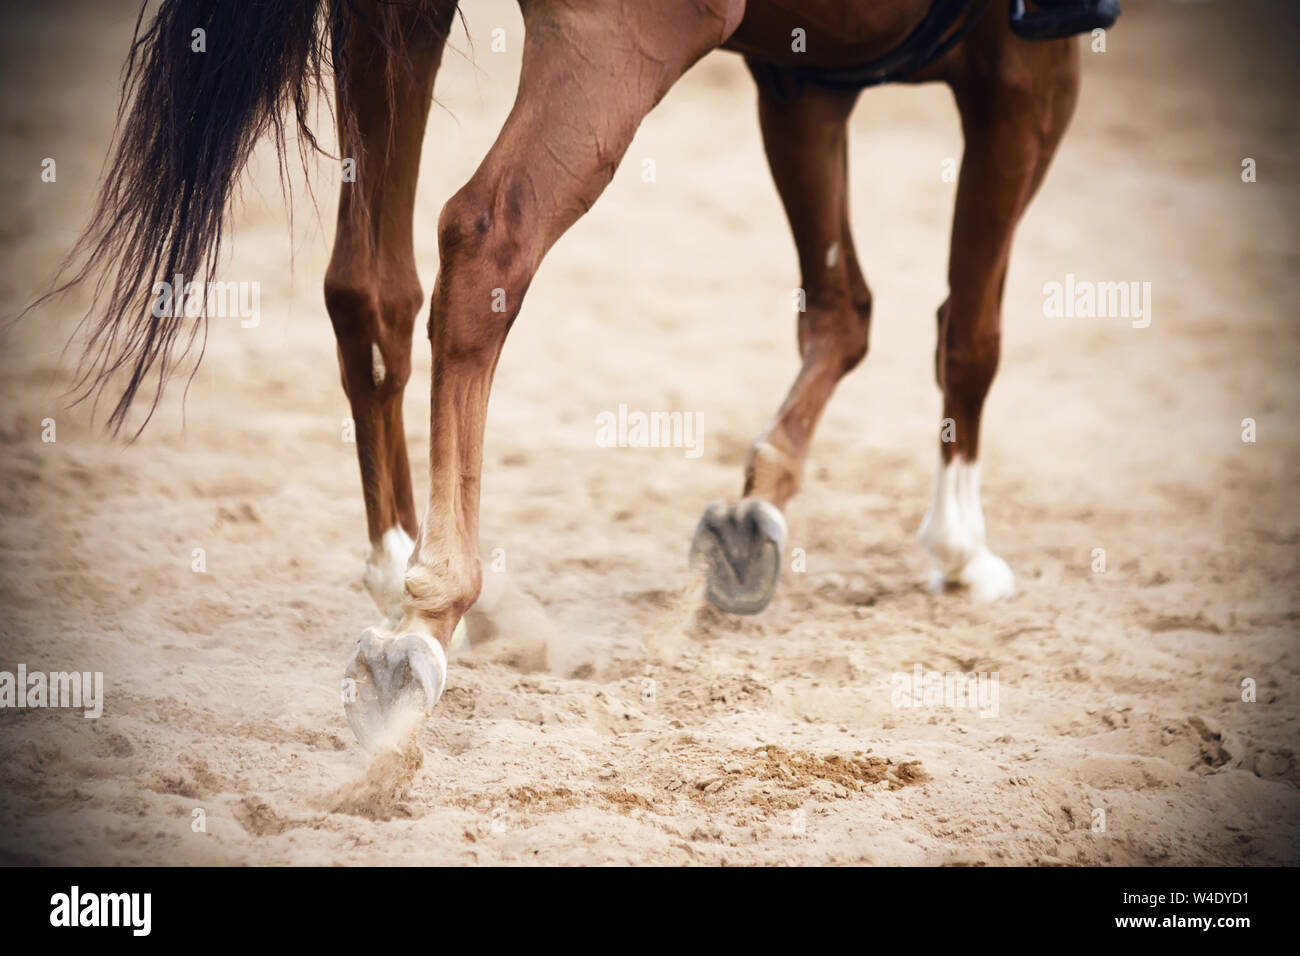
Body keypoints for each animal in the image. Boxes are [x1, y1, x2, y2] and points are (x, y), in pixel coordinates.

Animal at [46, 0, 1119, 748]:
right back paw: (428, 618)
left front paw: (754, 509)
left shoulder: (804, 79)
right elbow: (969, 331)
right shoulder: (1029, 74)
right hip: (614, 44)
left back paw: (401, 575)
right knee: (485, 248)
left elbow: (841, 309)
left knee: (370, 289)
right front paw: (960, 546)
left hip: (393, 25)